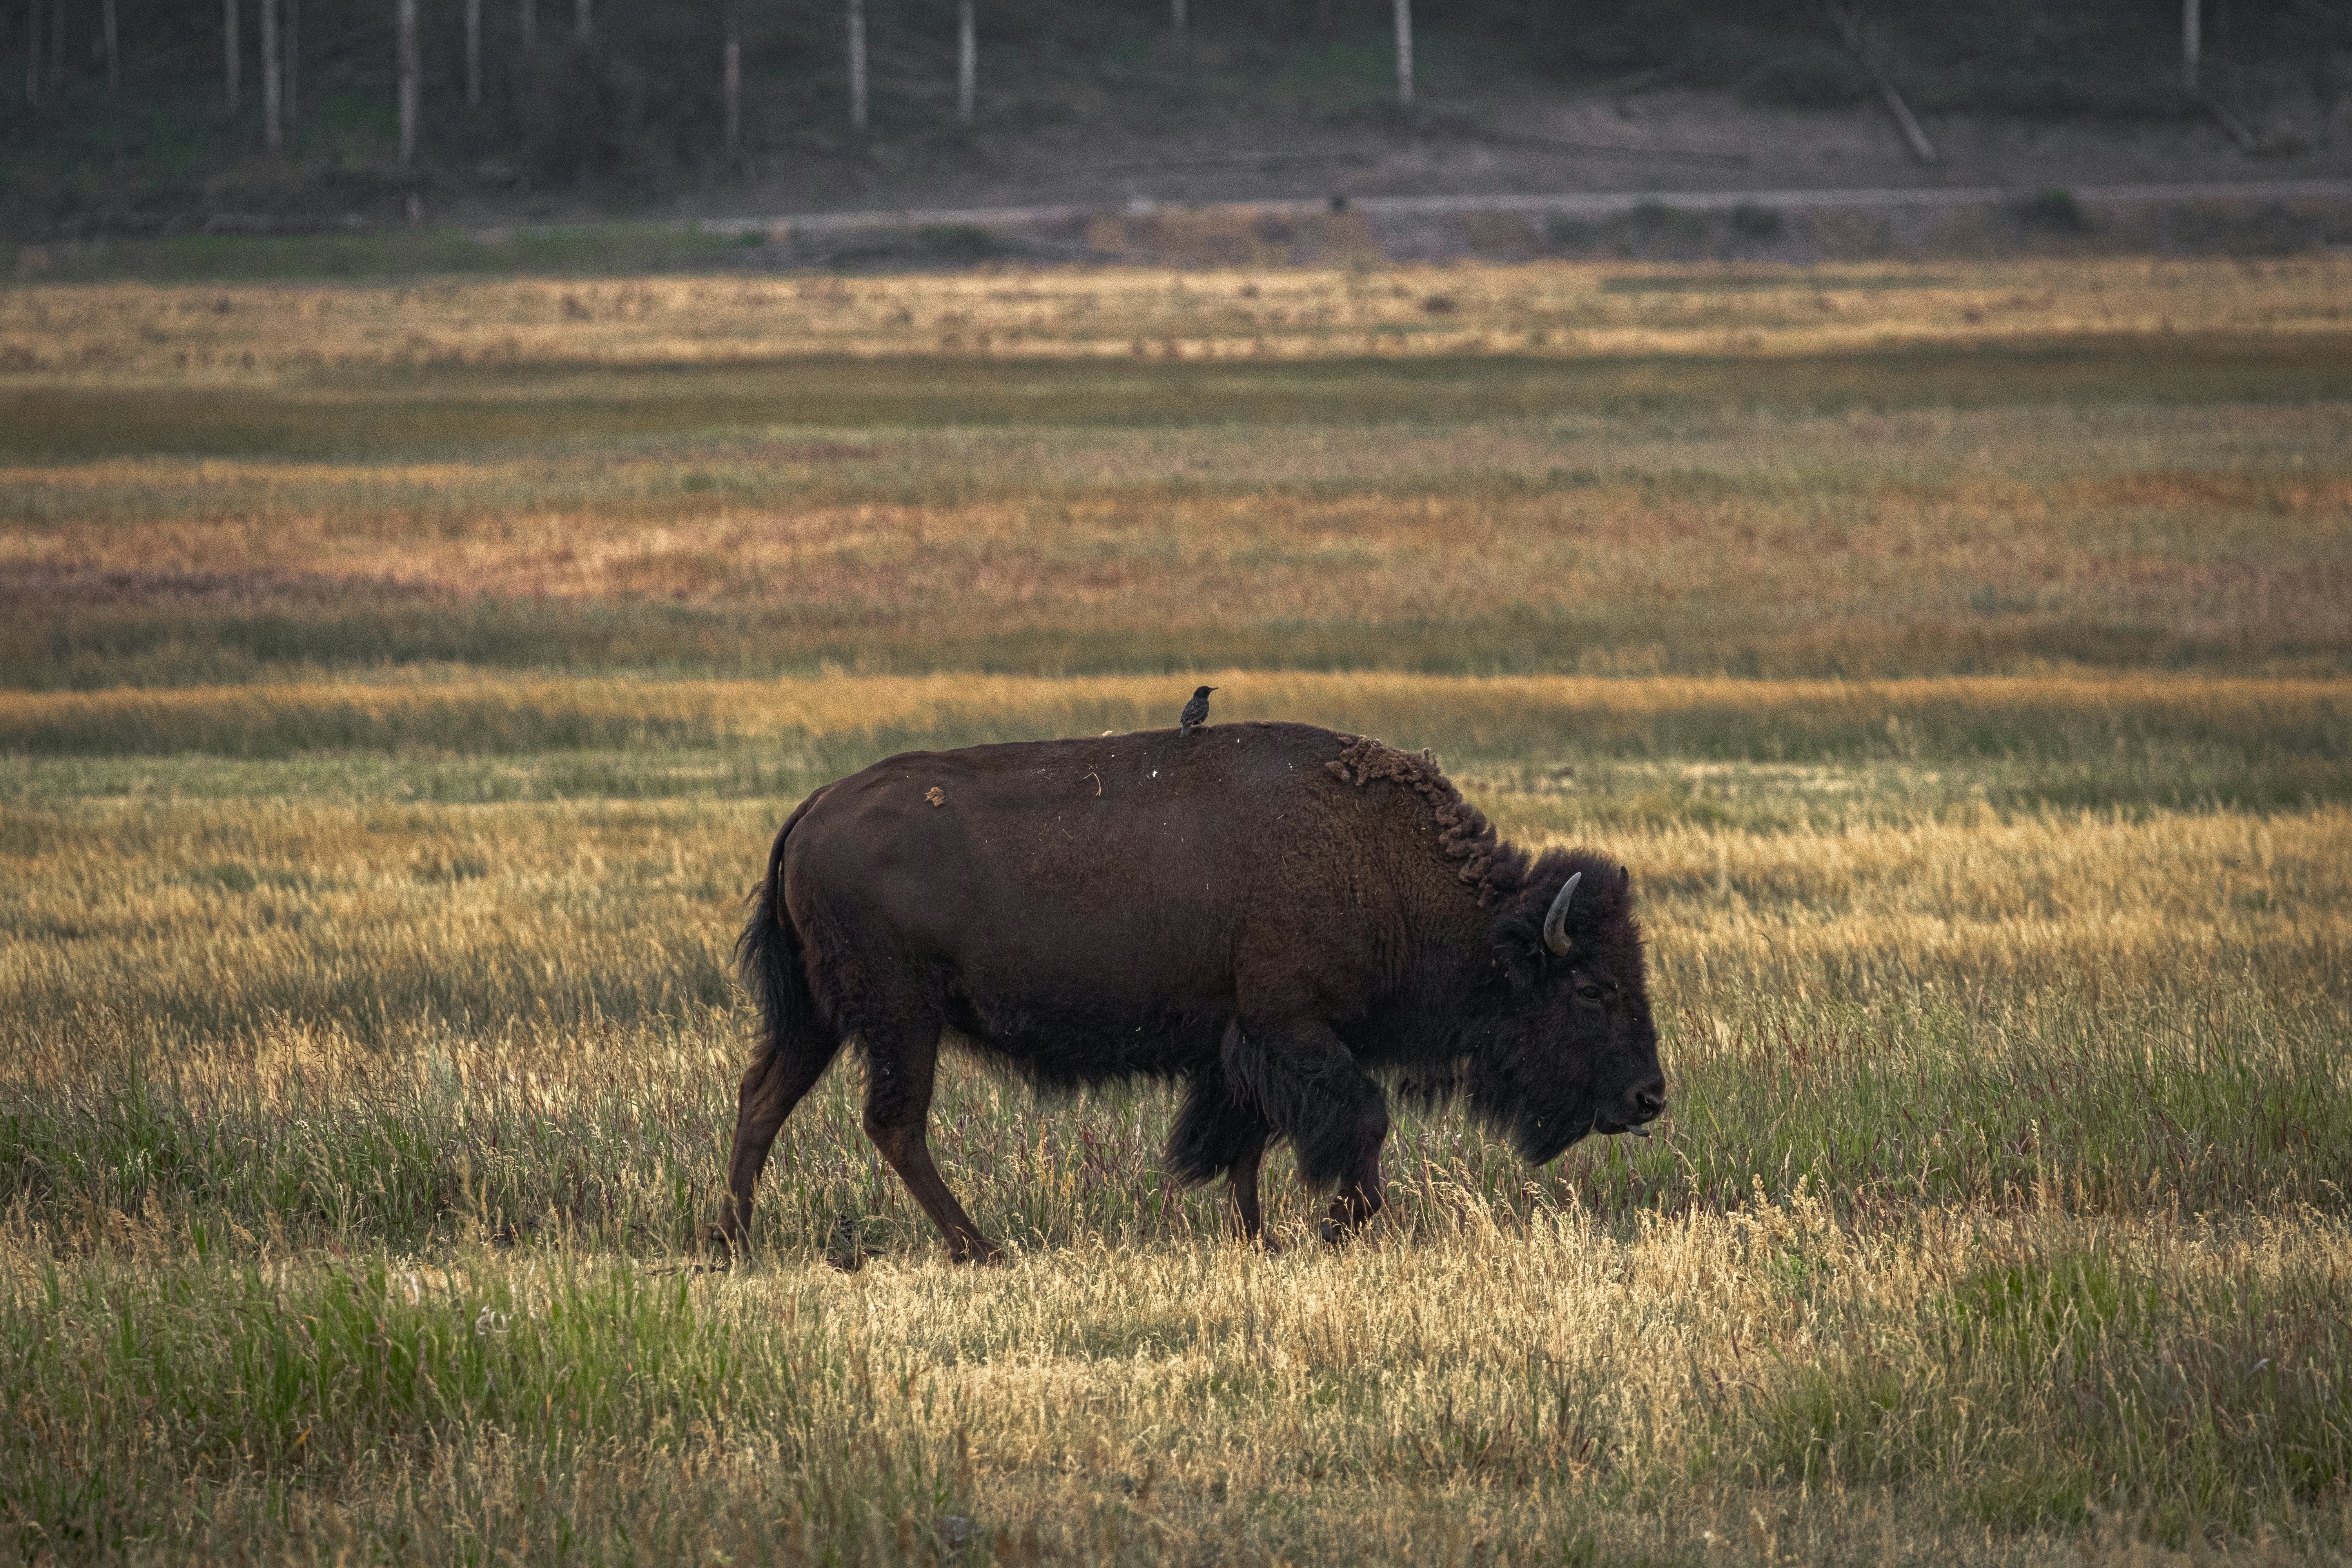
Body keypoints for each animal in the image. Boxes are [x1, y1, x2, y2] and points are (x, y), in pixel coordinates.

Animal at [720, 721, 1664, 1261]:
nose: (1650, 1096)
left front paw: (1264, 1239)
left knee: (764, 1098)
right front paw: (1334, 1229)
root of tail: (811, 809)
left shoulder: (1241, 1049)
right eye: (1591, 988)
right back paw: (981, 1248)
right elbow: (1358, 1123)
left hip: (822, 1019)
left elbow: (1243, 1146)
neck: (1379, 863)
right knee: (893, 1124)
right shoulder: (1293, 1030)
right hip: (900, 1019)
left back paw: (731, 1242)